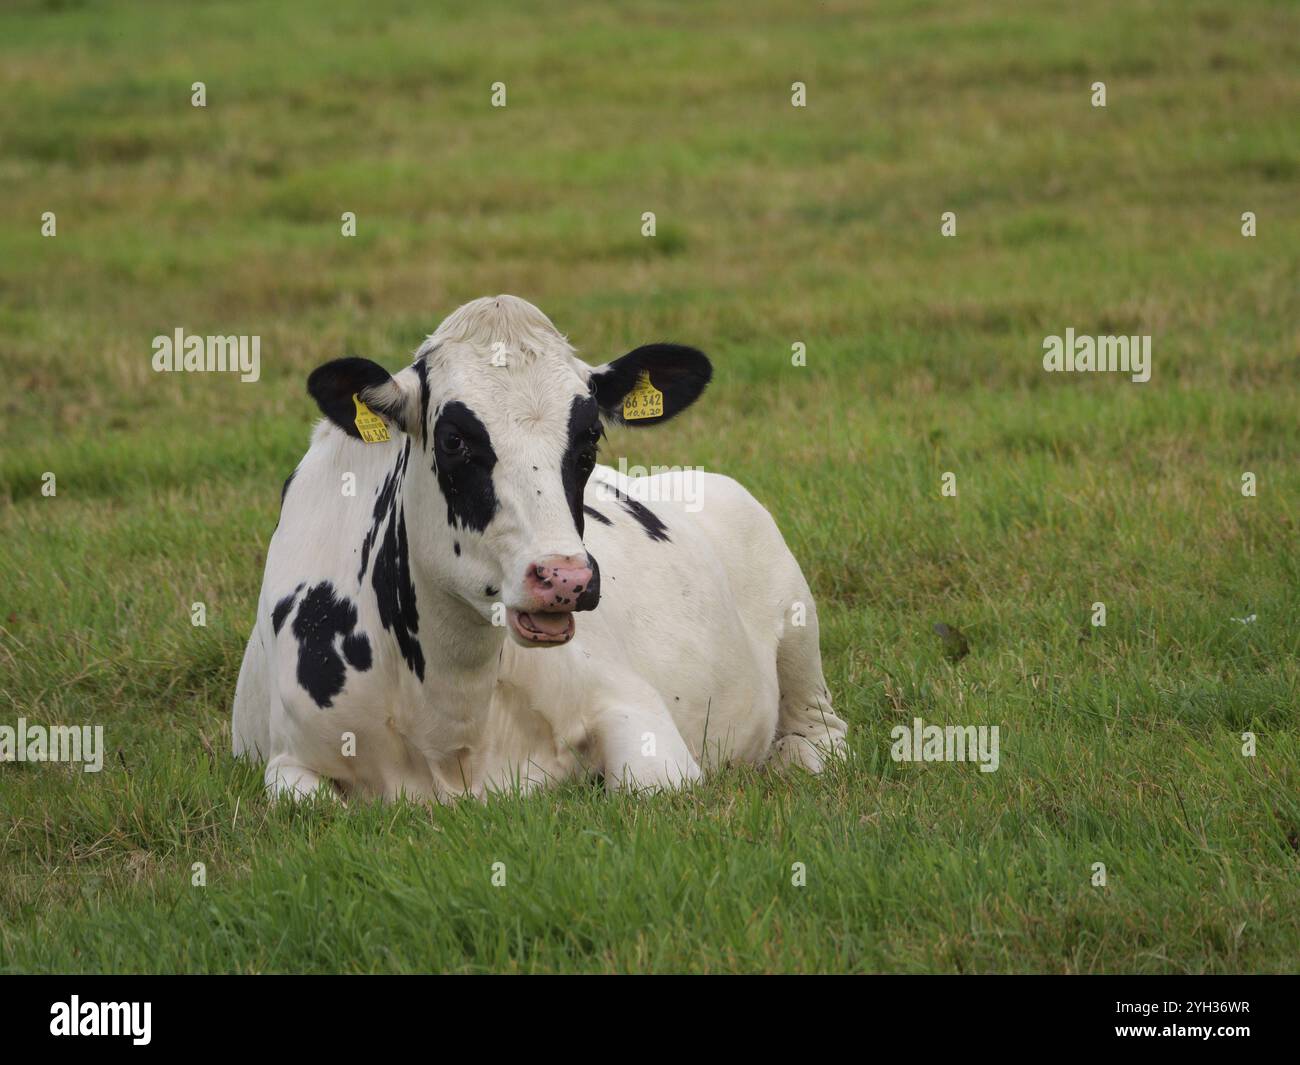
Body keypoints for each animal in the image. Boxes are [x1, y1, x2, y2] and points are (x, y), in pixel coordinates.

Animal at [232, 296, 847, 800]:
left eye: (590, 437)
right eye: (454, 441)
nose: (564, 578)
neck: (448, 719)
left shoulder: (631, 705)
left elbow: (654, 784)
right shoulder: (288, 761)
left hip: (798, 622)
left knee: (823, 734)